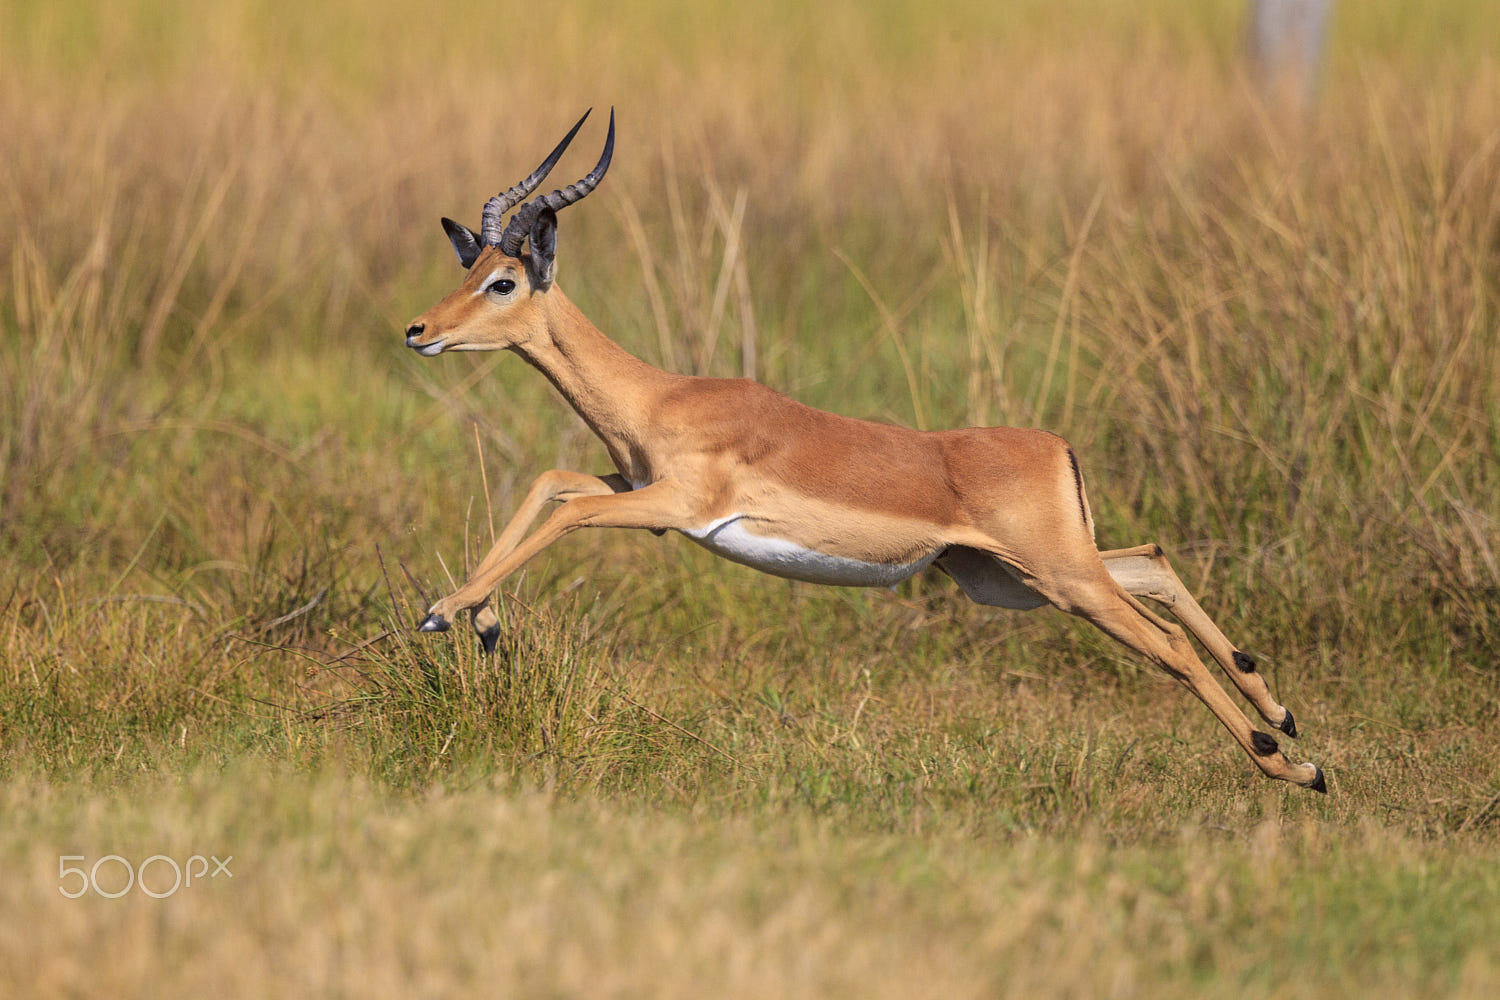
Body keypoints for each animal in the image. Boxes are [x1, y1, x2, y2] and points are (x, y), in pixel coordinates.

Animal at [403, 109, 1326, 793]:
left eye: (504, 282)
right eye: (469, 268)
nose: (418, 331)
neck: (660, 396)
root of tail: (1055, 445)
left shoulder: (676, 506)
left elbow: (571, 512)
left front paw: (446, 610)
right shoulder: (639, 488)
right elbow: (552, 482)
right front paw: (481, 622)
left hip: (1060, 579)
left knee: (1166, 643)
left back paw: (1294, 767)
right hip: (1013, 579)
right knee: (1155, 561)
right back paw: (1281, 719)